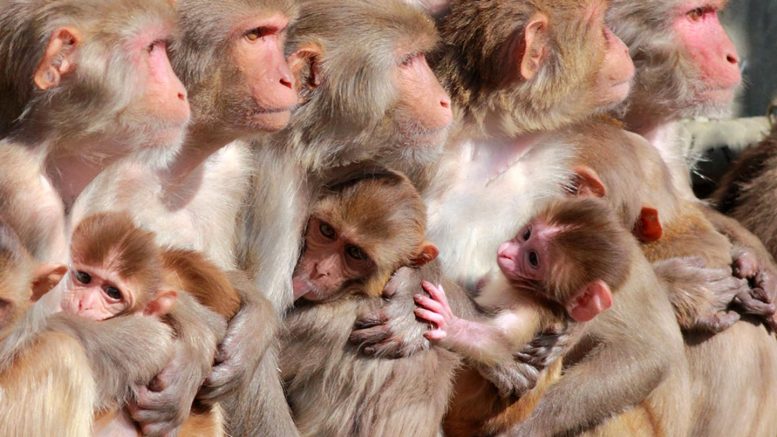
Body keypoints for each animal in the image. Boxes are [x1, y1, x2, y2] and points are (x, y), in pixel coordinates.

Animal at [415, 198, 690, 437]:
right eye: (526, 234)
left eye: (533, 258)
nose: (507, 251)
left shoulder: (531, 304)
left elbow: (500, 341)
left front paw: (450, 325)